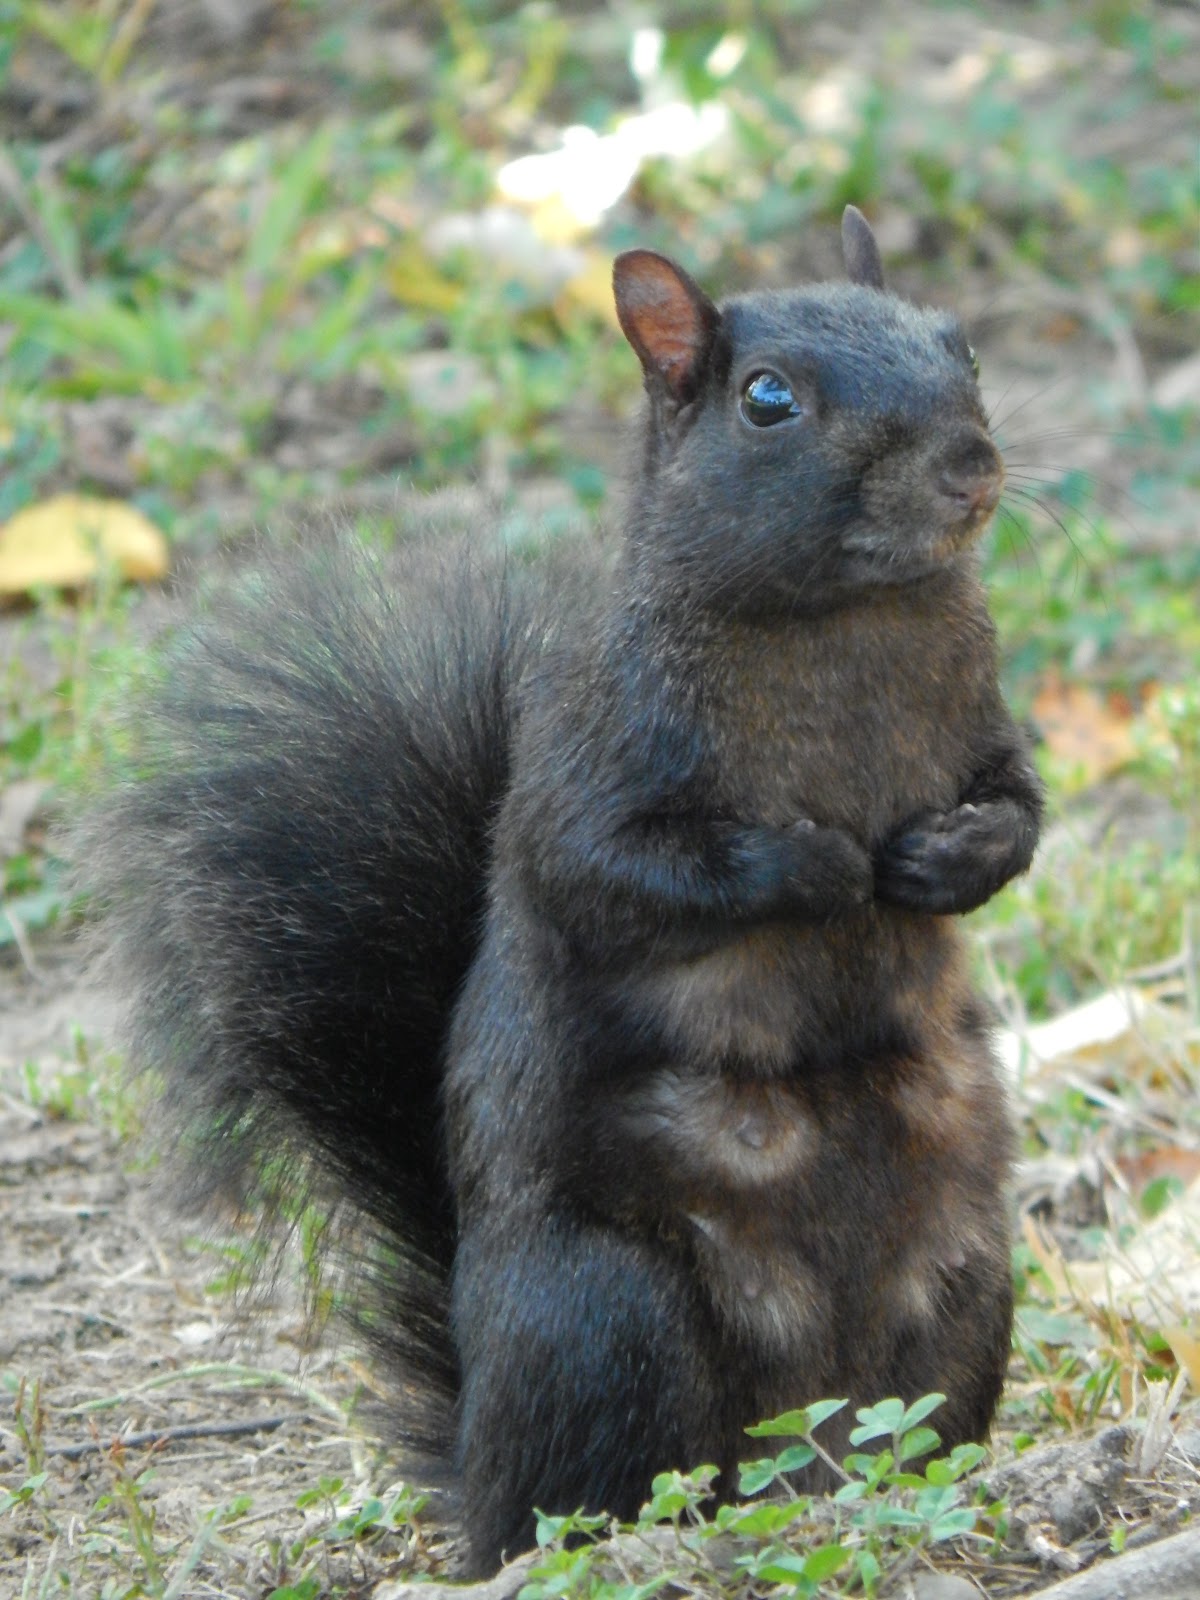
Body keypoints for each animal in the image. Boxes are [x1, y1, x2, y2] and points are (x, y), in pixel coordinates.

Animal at [86, 206, 1043, 1576]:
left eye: (957, 341)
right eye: (767, 399)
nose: (972, 466)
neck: (852, 619)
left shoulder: (985, 723)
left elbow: (1019, 809)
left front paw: (946, 858)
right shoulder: (588, 767)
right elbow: (617, 871)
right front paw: (817, 864)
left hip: (966, 1286)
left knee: (899, 1431)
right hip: (609, 1316)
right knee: (580, 1500)